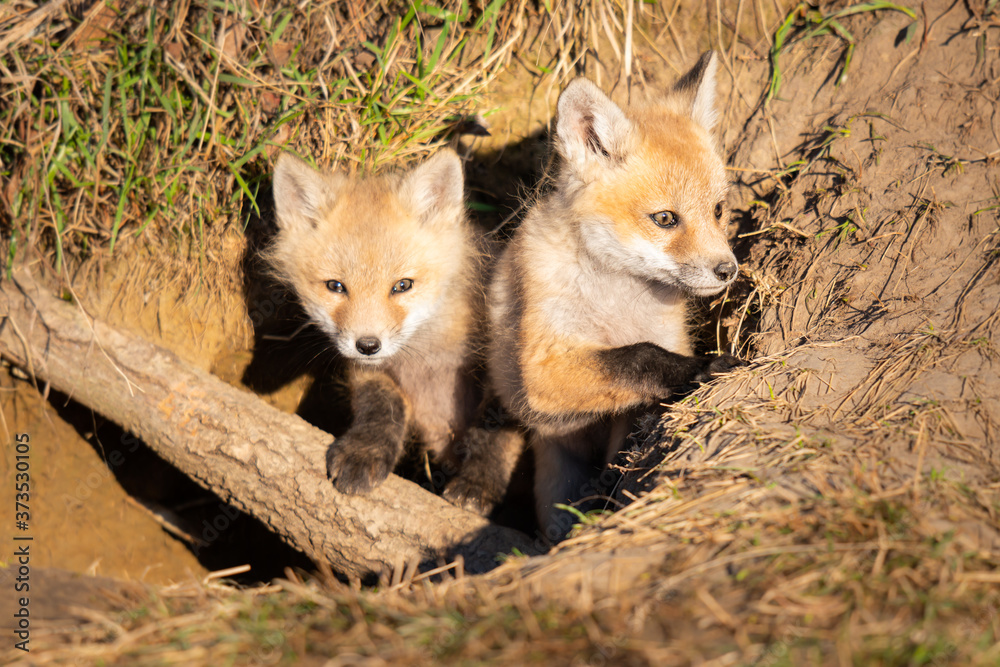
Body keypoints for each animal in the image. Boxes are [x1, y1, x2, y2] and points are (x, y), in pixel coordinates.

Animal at [266, 148, 493, 504]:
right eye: (335, 286)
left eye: (402, 286)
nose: (368, 345)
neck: (428, 361)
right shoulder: (367, 370)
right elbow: (382, 404)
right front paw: (364, 451)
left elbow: (495, 433)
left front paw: (479, 482)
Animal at [484, 51, 742, 538]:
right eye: (665, 219)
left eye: (718, 210)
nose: (728, 270)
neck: (615, 306)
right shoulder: (541, 370)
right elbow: (638, 356)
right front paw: (703, 368)